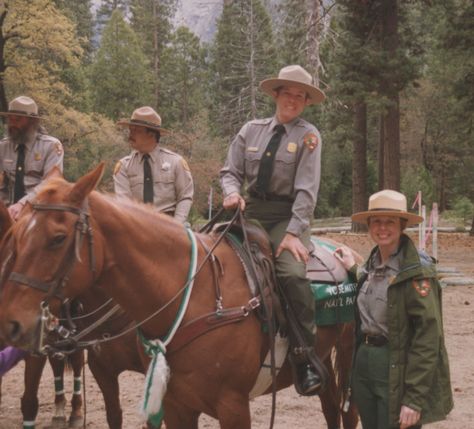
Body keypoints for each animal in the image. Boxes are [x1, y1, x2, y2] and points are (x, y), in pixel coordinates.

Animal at [0, 163, 356, 424]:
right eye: (16, 238)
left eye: (58, 238)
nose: (11, 324)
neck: (195, 299)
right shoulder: (171, 402)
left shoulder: (233, 406)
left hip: (348, 355)